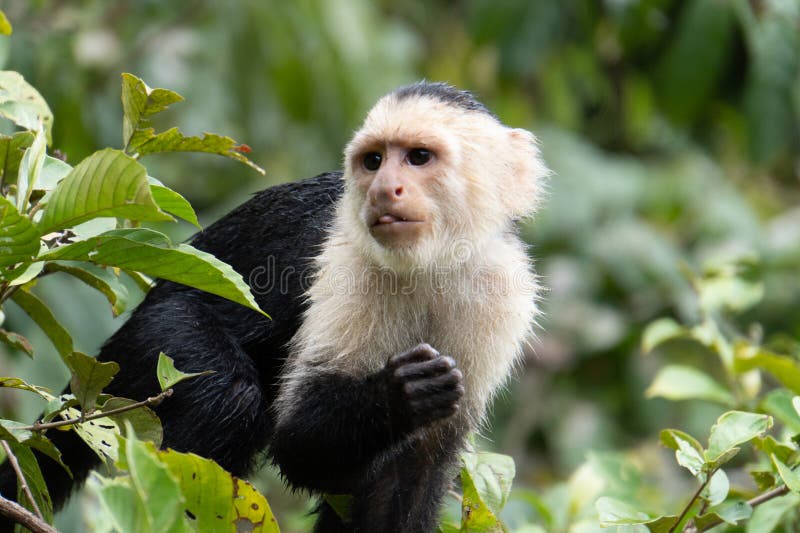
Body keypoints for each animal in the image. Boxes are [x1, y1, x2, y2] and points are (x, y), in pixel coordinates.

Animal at [0, 82, 546, 532]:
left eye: (418, 157)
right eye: (374, 161)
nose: (382, 189)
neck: (427, 263)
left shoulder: (501, 293)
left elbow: (409, 473)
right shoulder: (347, 267)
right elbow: (300, 447)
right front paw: (401, 393)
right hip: (157, 336)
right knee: (227, 395)